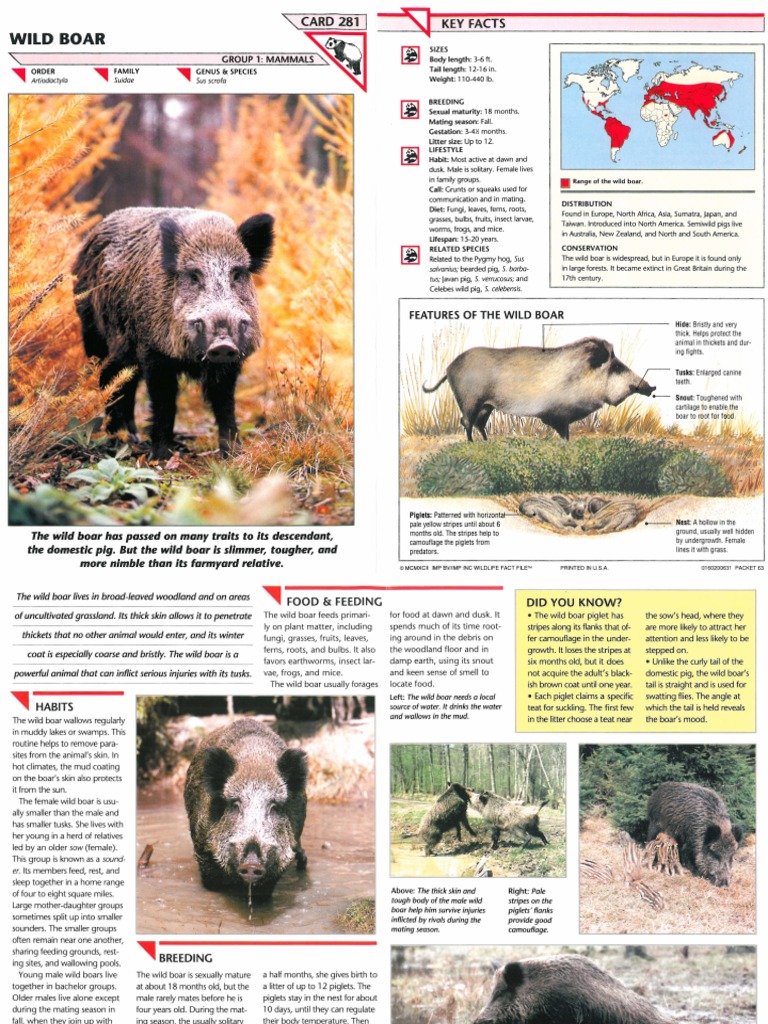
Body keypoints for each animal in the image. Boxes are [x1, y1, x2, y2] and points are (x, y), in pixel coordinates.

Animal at [74, 206, 274, 458]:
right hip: (94, 334)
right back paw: (117, 438)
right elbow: (164, 403)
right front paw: (162, 455)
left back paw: (132, 437)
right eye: (194, 275)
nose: (222, 343)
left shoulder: (231, 363)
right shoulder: (154, 352)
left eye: (237, 274)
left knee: (127, 384)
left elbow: (225, 403)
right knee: (109, 382)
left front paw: (232, 452)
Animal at [422, 337, 655, 441]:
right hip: (469, 400)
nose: (651, 386)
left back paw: (487, 442)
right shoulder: (556, 414)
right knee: (466, 421)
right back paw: (472, 444)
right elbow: (562, 433)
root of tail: (449, 368)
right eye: (617, 367)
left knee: (479, 423)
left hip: (487, 406)